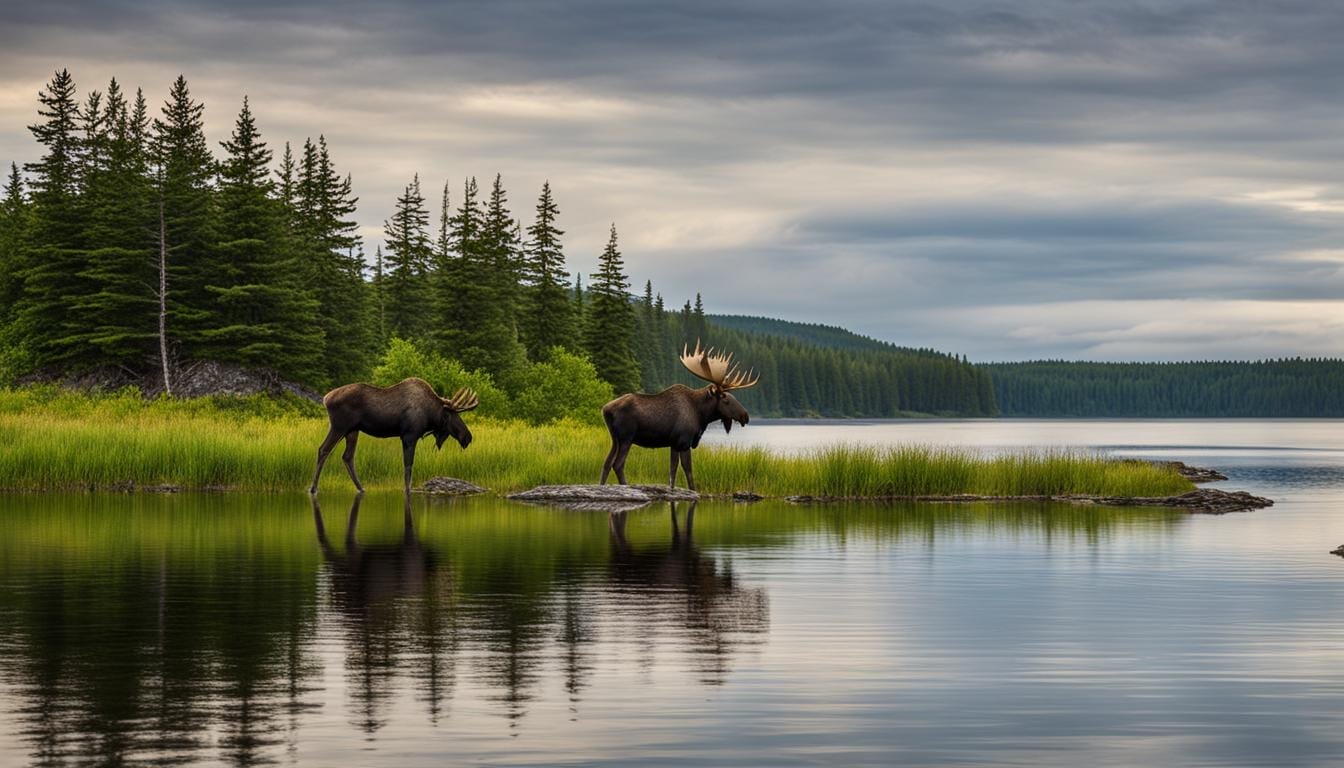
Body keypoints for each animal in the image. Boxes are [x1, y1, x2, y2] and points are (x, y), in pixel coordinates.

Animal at [310, 378, 479, 495]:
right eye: (453, 415)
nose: (467, 437)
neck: (431, 416)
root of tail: (325, 399)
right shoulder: (409, 436)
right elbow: (408, 467)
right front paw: (407, 490)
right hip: (340, 427)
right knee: (323, 449)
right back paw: (313, 489)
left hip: (352, 431)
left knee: (347, 456)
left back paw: (361, 488)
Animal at [600, 342, 759, 490]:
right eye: (726, 400)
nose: (745, 416)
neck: (701, 415)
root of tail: (606, 410)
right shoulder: (683, 441)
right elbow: (687, 470)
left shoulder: (674, 443)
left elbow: (673, 471)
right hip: (627, 437)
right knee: (618, 464)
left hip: (615, 439)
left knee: (607, 463)